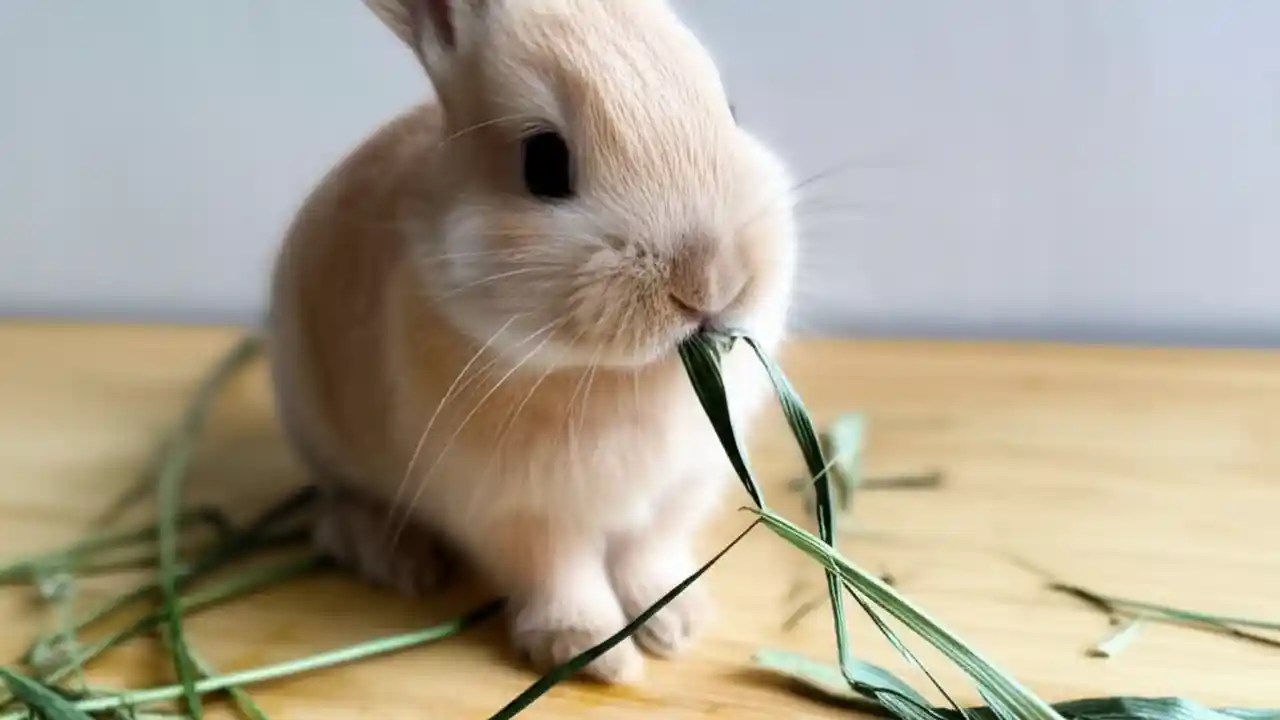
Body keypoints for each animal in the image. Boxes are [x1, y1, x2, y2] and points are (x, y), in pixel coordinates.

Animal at [266, 0, 798, 683]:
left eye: (730, 110)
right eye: (543, 162)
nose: (711, 282)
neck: (620, 375)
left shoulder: (678, 492)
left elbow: (650, 561)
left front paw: (677, 626)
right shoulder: (519, 513)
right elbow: (561, 577)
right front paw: (592, 654)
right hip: (318, 429)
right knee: (342, 505)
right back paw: (400, 562)